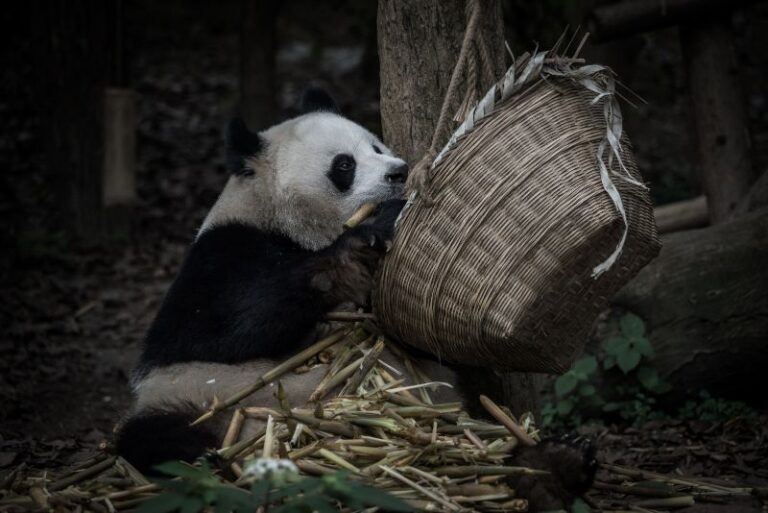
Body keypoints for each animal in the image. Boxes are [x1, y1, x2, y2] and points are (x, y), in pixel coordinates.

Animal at [116, 89, 596, 512]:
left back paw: (553, 466)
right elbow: (222, 326)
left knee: (487, 443)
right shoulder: (221, 255)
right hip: (193, 400)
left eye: (377, 145)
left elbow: (428, 339)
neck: (291, 226)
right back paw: (218, 468)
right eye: (343, 164)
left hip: (451, 420)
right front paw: (358, 248)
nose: (399, 171)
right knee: (156, 440)